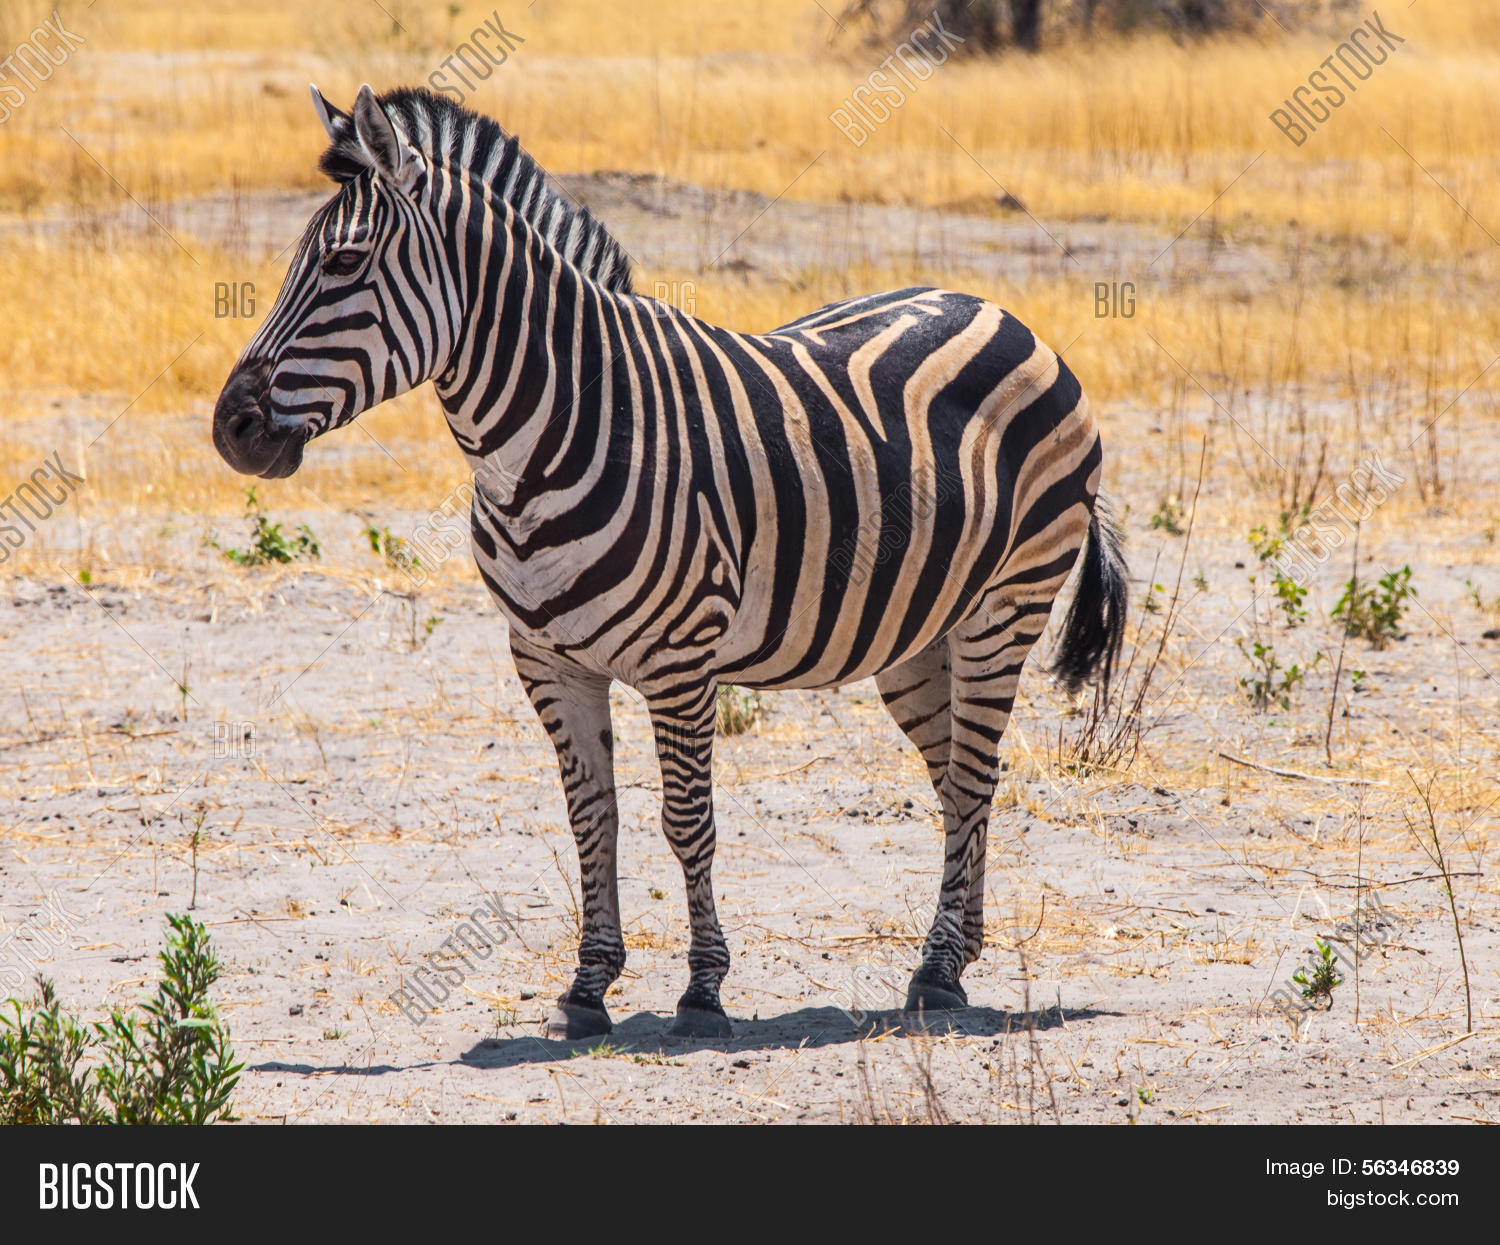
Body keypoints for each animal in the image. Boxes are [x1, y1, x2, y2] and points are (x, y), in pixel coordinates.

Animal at [213, 85, 1127, 1040]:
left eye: (345, 263)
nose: (230, 428)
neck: (548, 436)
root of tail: (1001, 310)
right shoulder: (547, 661)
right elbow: (593, 818)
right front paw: (587, 986)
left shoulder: (680, 661)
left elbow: (687, 820)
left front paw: (702, 989)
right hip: (918, 634)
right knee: (957, 779)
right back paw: (955, 952)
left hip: (1005, 609)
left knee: (978, 773)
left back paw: (942, 969)